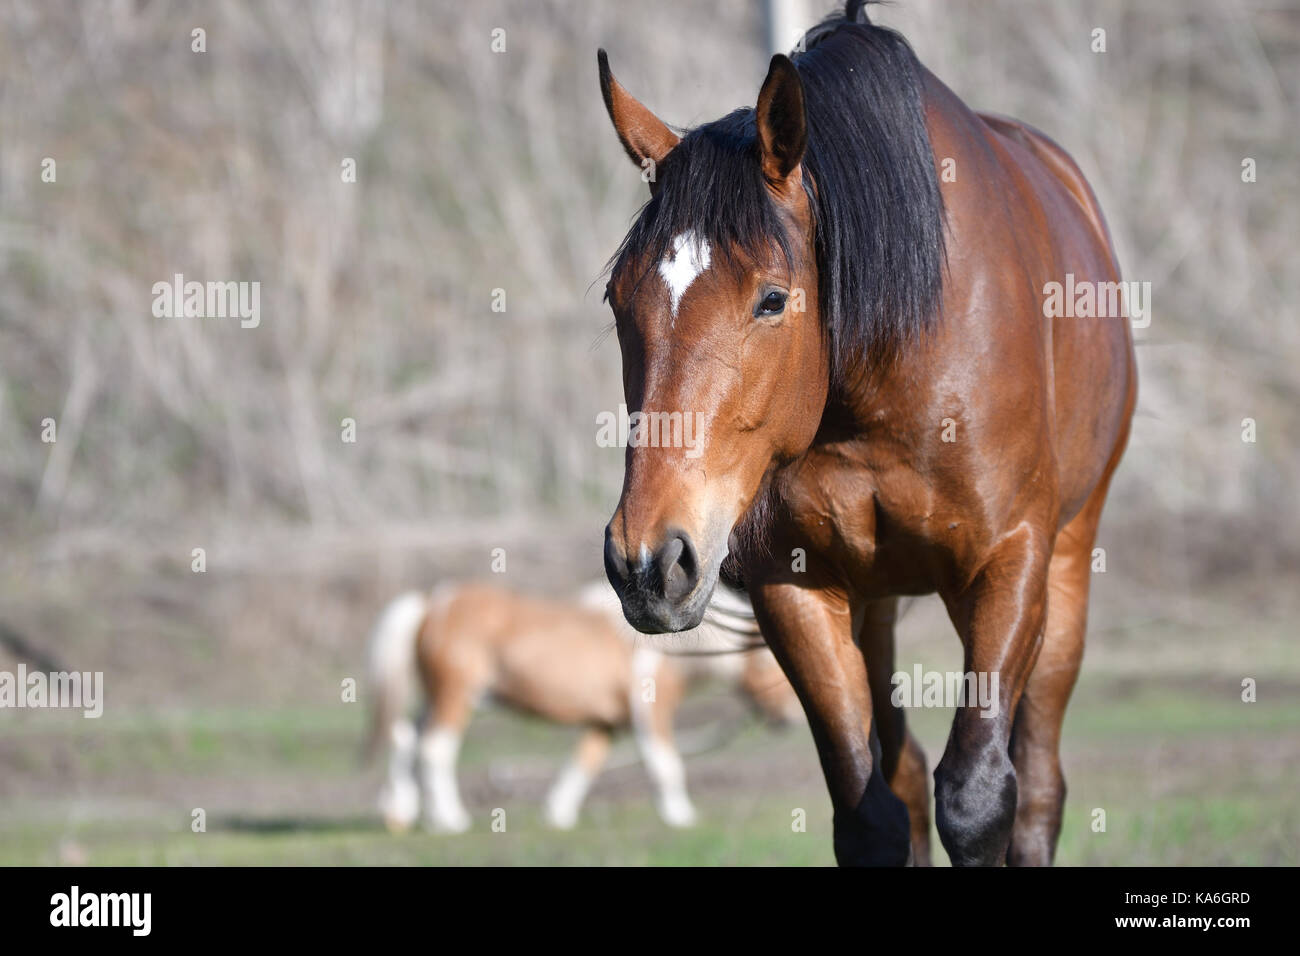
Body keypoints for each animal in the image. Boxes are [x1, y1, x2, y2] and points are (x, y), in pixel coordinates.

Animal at [365, 579, 800, 833]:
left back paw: (400, 814)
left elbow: (585, 764)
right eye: (771, 665)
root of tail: (433, 602)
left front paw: (557, 815)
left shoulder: (605, 723)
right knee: (434, 750)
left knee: (406, 739)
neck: (664, 649)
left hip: (436, 698)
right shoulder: (650, 713)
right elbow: (665, 764)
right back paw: (449, 819)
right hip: (455, 698)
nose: (791, 720)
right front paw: (681, 817)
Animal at [597, 1, 1136, 866]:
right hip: (875, 598)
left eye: (772, 299)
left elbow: (978, 799)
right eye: (619, 298)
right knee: (905, 770)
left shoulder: (1010, 563)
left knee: (1037, 786)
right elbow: (871, 812)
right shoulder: (796, 586)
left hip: (1067, 560)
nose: (649, 562)